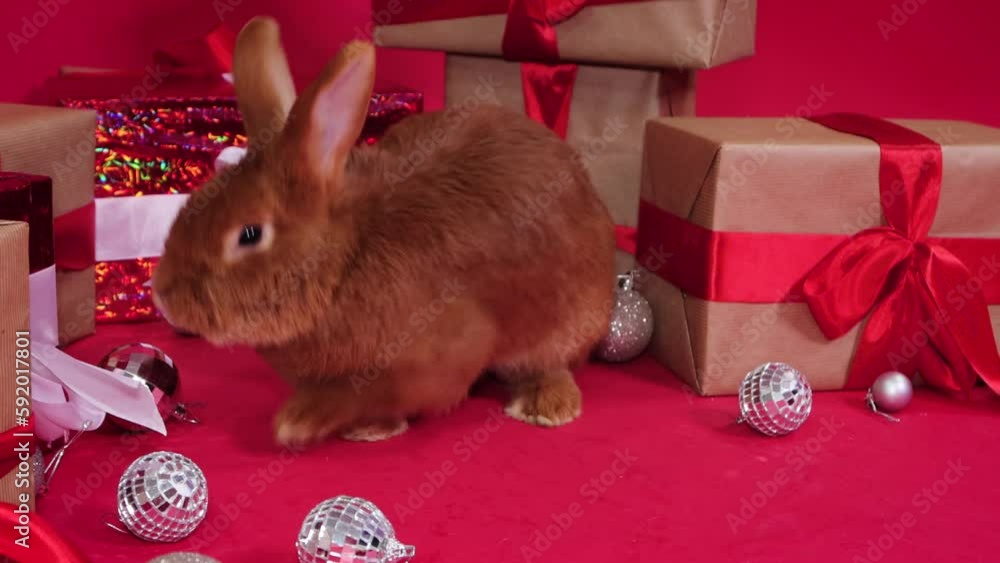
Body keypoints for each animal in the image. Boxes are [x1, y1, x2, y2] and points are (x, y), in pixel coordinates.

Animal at [152, 17, 616, 446]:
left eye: (249, 234)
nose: (162, 295)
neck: (344, 263)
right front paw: (367, 427)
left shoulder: (440, 355)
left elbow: (368, 394)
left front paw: (302, 419)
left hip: (567, 319)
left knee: (550, 363)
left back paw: (544, 406)